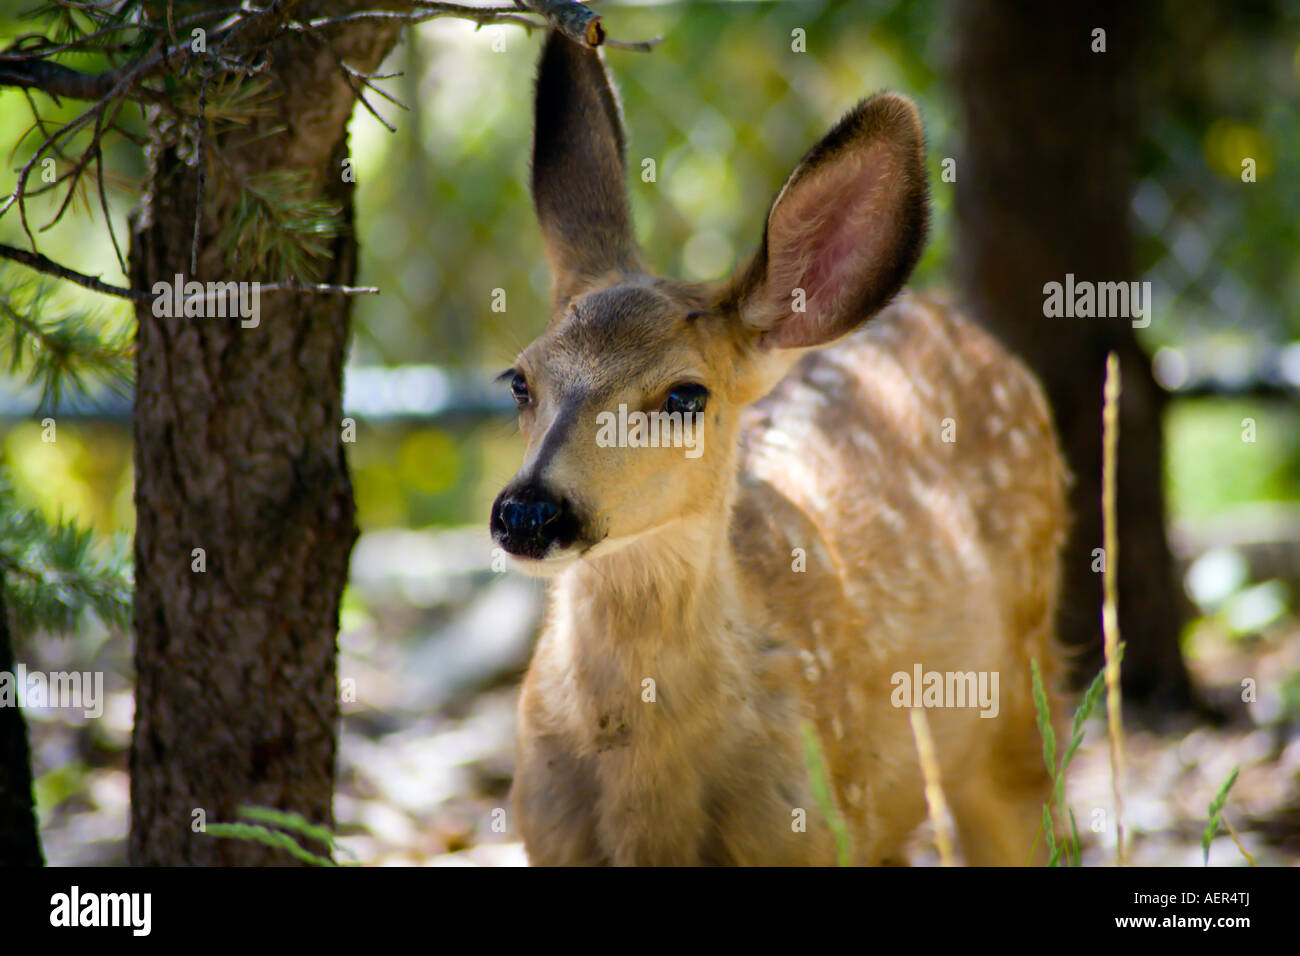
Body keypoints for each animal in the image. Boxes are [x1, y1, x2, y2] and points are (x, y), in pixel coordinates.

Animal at [490, 30, 1069, 866]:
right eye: (519, 380)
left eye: (685, 396)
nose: (528, 512)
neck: (649, 806)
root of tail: (953, 319)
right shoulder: (549, 836)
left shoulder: (813, 822)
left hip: (1019, 695)